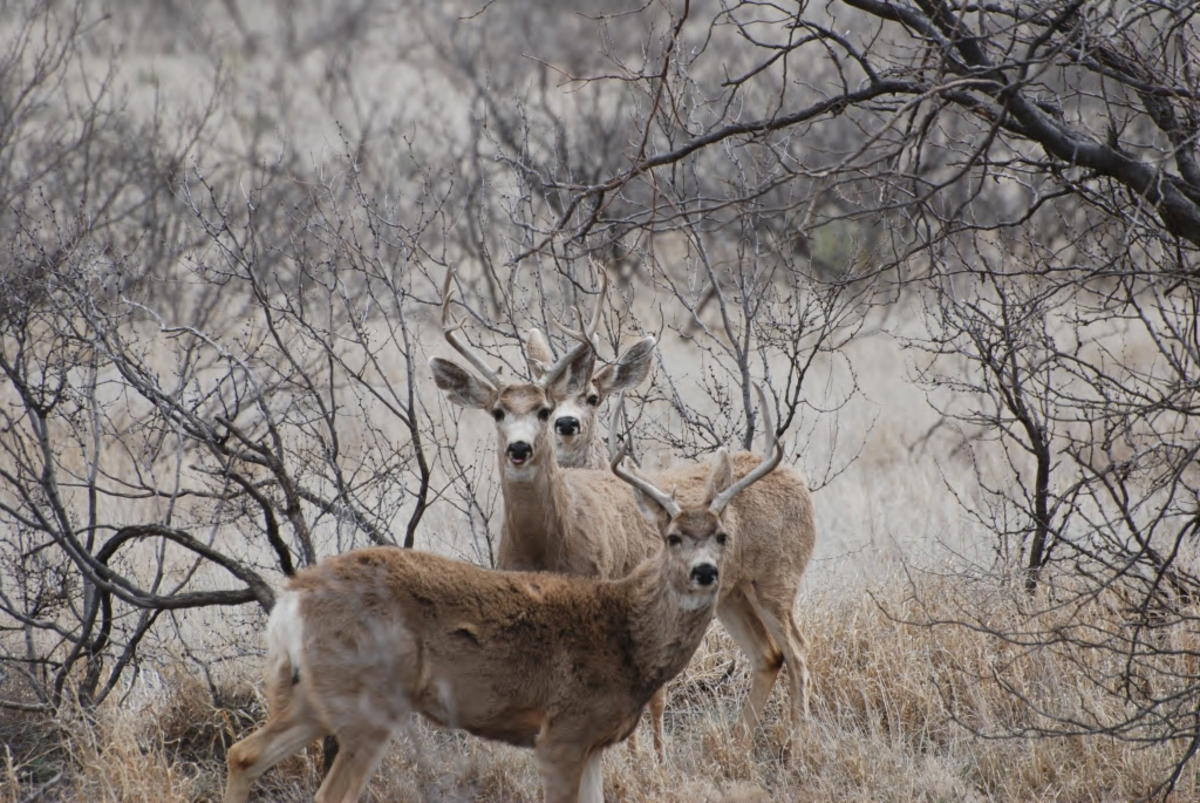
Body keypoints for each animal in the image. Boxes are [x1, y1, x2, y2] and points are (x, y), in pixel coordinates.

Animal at [222, 413, 783, 803]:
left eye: (723, 536)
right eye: (671, 538)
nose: (705, 572)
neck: (626, 636)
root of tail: (290, 599)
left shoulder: (594, 741)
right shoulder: (562, 730)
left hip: (317, 693)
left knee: (243, 752)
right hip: (367, 699)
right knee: (326, 792)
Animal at [431, 275, 817, 751]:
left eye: (543, 408)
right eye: (498, 411)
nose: (520, 448)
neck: (552, 541)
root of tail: (798, 480)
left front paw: (639, 758)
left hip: (778, 577)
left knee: (797, 651)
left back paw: (799, 743)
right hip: (732, 592)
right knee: (769, 654)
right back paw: (738, 745)